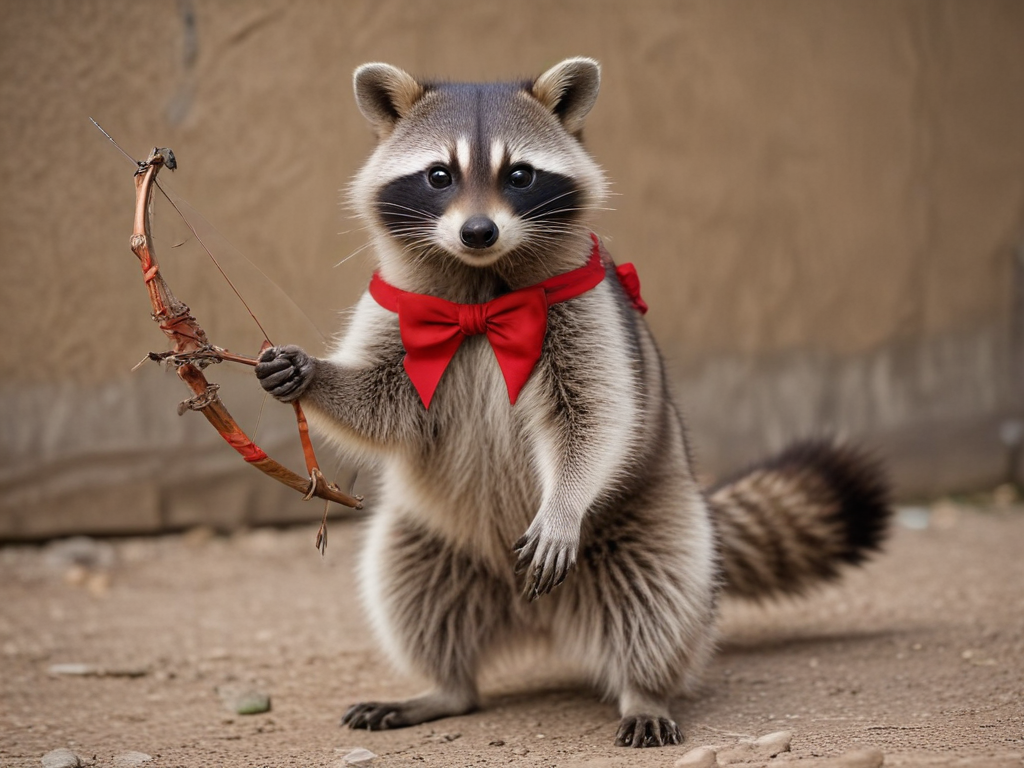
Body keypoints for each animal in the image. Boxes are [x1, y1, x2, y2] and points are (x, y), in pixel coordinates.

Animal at [255, 58, 891, 748]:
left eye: (519, 175)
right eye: (439, 175)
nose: (478, 231)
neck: (484, 294)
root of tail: (536, 616)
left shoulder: (586, 310)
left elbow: (595, 417)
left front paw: (564, 501)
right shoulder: (402, 308)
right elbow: (383, 402)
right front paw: (313, 376)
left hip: (656, 522)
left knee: (657, 600)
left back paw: (644, 690)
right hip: (429, 535)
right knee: (413, 592)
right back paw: (444, 687)